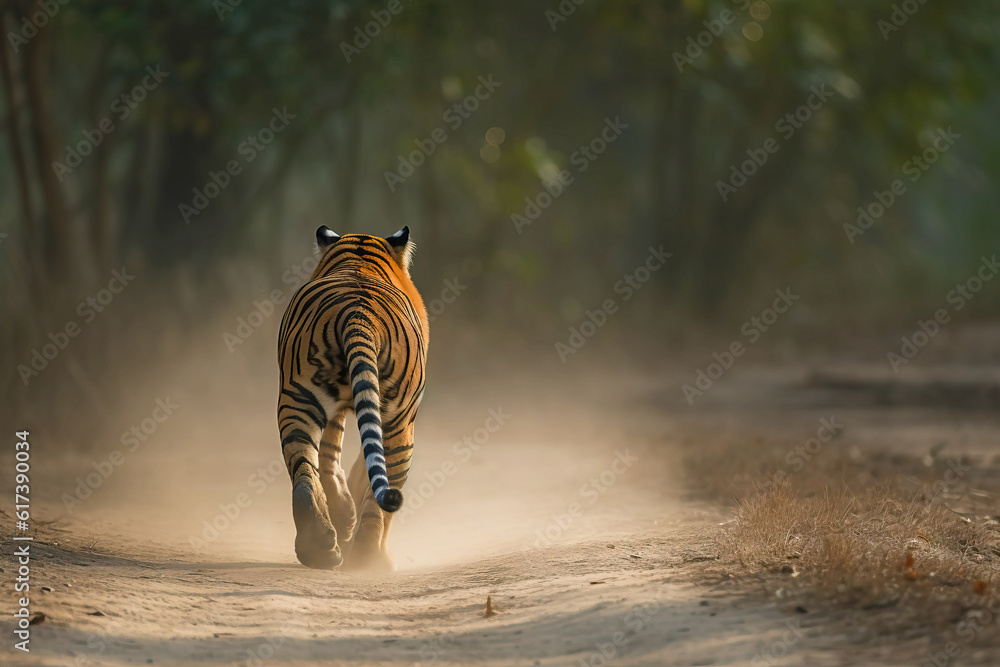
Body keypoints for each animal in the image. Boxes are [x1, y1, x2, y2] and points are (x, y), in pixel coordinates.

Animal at [276, 225, 428, 570]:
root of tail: (358, 315)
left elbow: (329, 455)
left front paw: (342, 517)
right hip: (401, 423)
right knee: (382, 493)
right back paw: (370, 559)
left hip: (297, 400)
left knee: (303, 466)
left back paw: (319, 547)